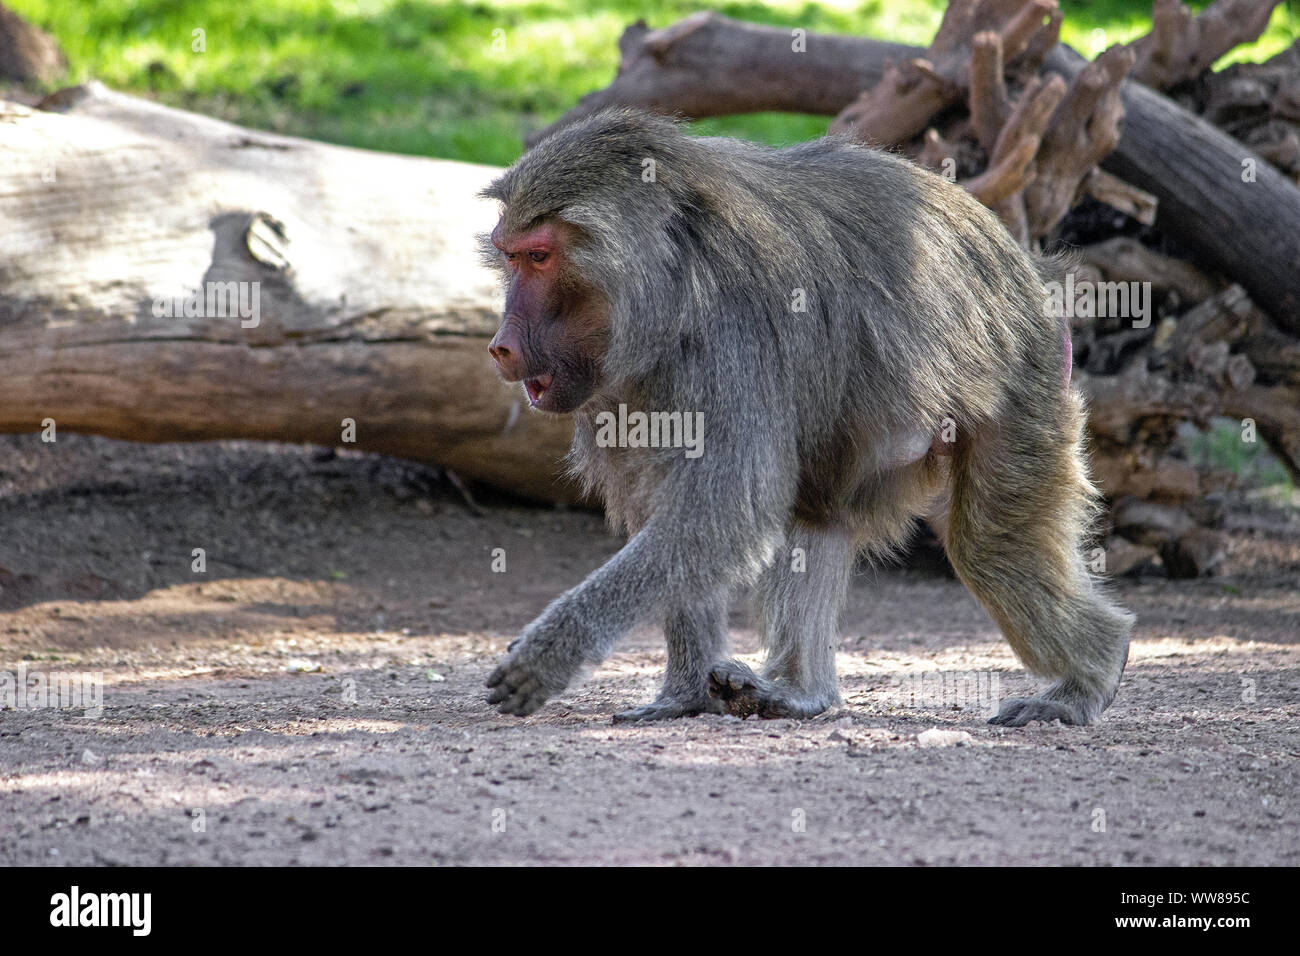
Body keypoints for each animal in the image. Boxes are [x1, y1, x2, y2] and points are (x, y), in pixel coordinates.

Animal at [480, 108, 1133, 726]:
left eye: (539, 257)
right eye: (511, 259)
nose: (502, 346)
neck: (673, 280)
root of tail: (1025, 270)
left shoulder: (732, 333)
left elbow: (723, 511)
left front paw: (551, 652)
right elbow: (676, 513)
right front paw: (686, 695)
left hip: (1021, 380)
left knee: (989, 547)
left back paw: (1088, 680)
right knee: (821, 507)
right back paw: (800, 693)